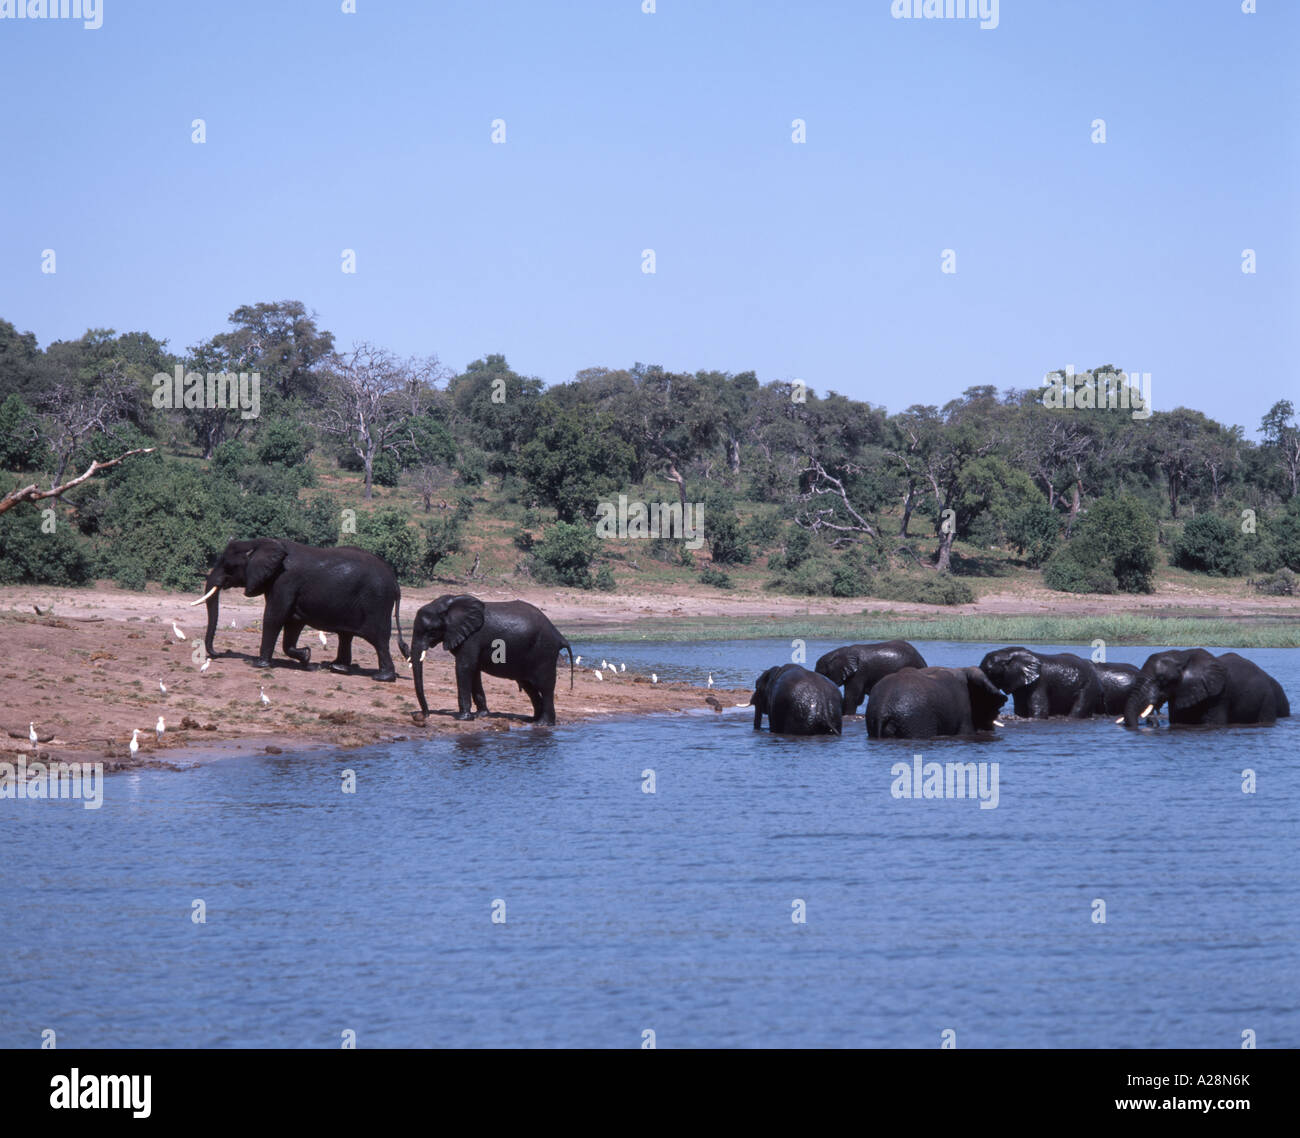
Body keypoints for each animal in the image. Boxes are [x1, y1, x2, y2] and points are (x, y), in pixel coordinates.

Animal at [193, 539, 407, 681]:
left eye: (228, 566)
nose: (218, 654)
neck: (260, 542)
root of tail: (395, 583)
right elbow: (293, 622)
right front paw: (307, 657)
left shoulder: (285, 581)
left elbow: (274, 617)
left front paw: (258, 665)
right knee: (346, 635)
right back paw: (336, 668)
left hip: (377, 601)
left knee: (378, 639)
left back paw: (381, 677)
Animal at [410, 595, 573, 724]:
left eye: (431, 632)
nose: (424, 715)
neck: (448, 605)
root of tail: (559, 636)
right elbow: (474, 670)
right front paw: (481, 715)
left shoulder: (472, 638)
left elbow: (464, 667)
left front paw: (464, 718)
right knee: (529, 686)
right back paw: (532, 720)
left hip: (545, 651)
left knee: (545, 687)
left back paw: (543, 724)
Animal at [1120, 649, 1290, 728]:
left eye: (1161, 680)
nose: (1151, 721)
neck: (1182, 656)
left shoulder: (1219, 695)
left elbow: (1212, 723)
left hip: (1267, 699)